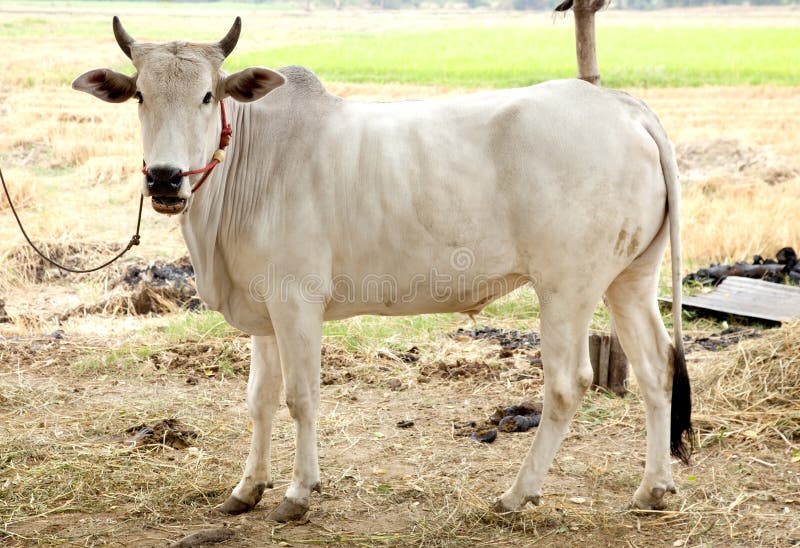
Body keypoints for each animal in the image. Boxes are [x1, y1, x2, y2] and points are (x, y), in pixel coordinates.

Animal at [72, 17, 693, 522]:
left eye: (207, 95)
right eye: (140, 96)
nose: (164, 178)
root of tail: (624, 107)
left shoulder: (296, 301)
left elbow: (301, 397)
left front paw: (298, 494)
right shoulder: (263, 309)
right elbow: (259, 400)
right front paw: (247, 489)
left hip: (566, 286)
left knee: (567, 385)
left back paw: (517, 495)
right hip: (630, 279)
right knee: (656, 369)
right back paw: (654, 490)